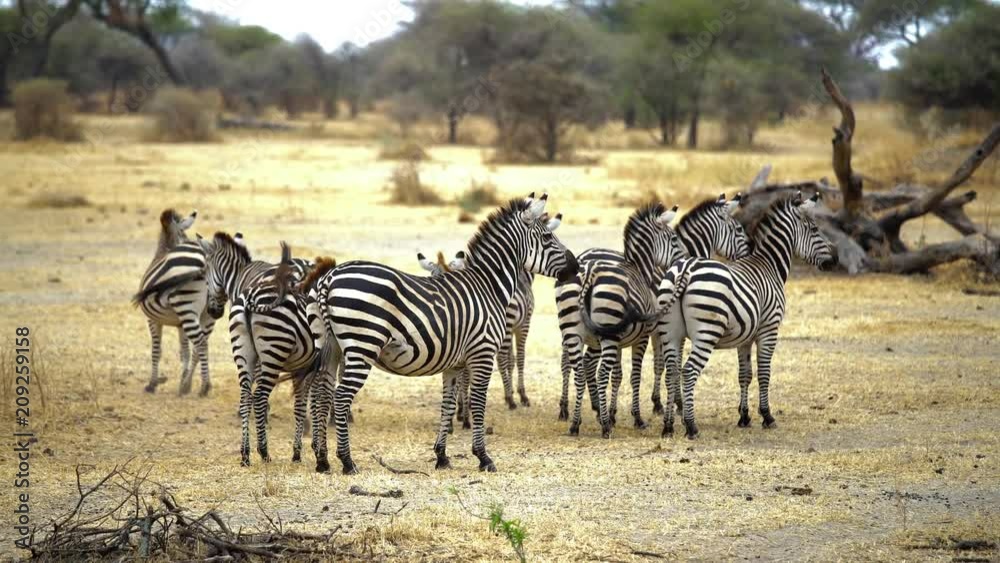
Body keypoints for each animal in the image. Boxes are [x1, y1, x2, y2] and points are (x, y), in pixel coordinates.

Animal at [133, 209, 219, 396]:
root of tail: (205, 262)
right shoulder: (180, 325)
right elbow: (184, 351)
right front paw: (184, 380)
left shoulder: (152, 320)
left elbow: (156, 350)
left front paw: (152, 384)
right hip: (208, 314)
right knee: (200, 346)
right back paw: (189, 385)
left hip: (187, 308)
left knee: (200, 343)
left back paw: (205, 386)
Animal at [309, 194, 576, 474]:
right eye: (547, 237)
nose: (576, 267)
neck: (489, 287)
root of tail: (329, 277)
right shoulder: (482, 354)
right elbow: (478, 402)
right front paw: (483, 456)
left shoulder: (454, 364)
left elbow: (447, 405)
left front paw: (442, 456)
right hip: (363, 346)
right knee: (340, 397)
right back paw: (347, 461)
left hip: (331, 346)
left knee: (321, 393)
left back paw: (322, 460)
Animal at [554, 195, 751, 425]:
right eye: (738, 229)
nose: (749, 255)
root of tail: (585, 258)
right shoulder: (663, 332)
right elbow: (667, 365)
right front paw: (673, 404)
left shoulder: (655, 332)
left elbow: (652, 366)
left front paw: (638, 407)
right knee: (588, 364)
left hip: (572, 328)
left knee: (569, 362)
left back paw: (568, 409)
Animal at [656, 192, 837, 439]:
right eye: (815, 229)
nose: (834, 261)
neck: (770, 266)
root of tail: (687, 268)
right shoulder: (769, 330)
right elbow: (764, 373)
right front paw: (767, 416)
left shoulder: (745, 338)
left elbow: (745, 374)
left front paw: (744, 416)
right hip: (706, 333)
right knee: (689, 371)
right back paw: (691, 427)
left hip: (671, 333)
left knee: (671, 372)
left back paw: (668, 426)